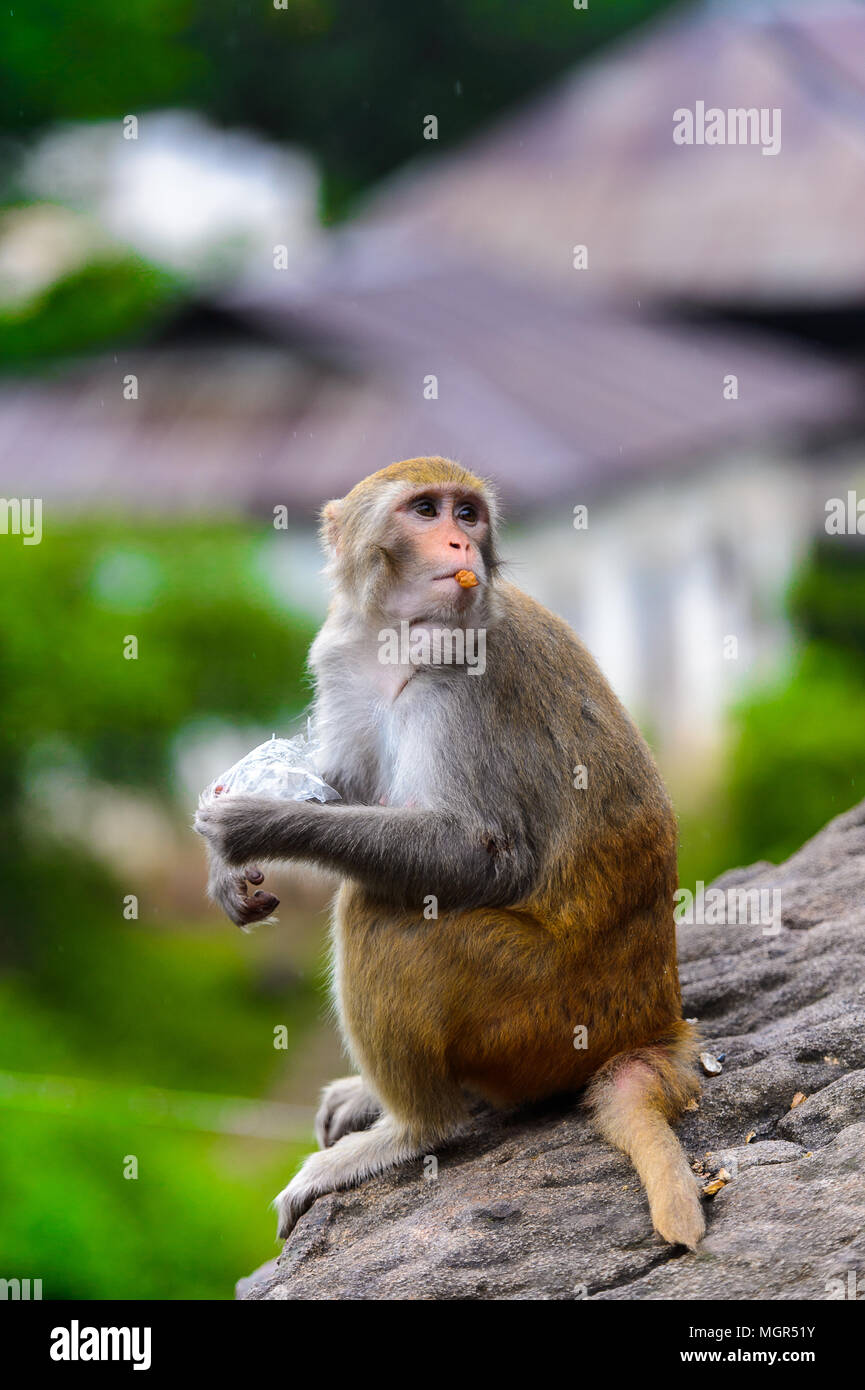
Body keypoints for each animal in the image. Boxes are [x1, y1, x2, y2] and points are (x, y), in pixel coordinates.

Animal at [194, 455, 705, 1250]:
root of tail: (655, 1023)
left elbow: (485, 854)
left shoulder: (463, 676)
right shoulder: (340, 655)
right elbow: (346, 781)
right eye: (426, 511)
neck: (397, 635)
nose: (460, 546)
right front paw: (234, 853)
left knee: (376, 911)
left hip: (537, 1009)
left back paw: (412, 1130)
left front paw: (253, 822)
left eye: (467, 515)